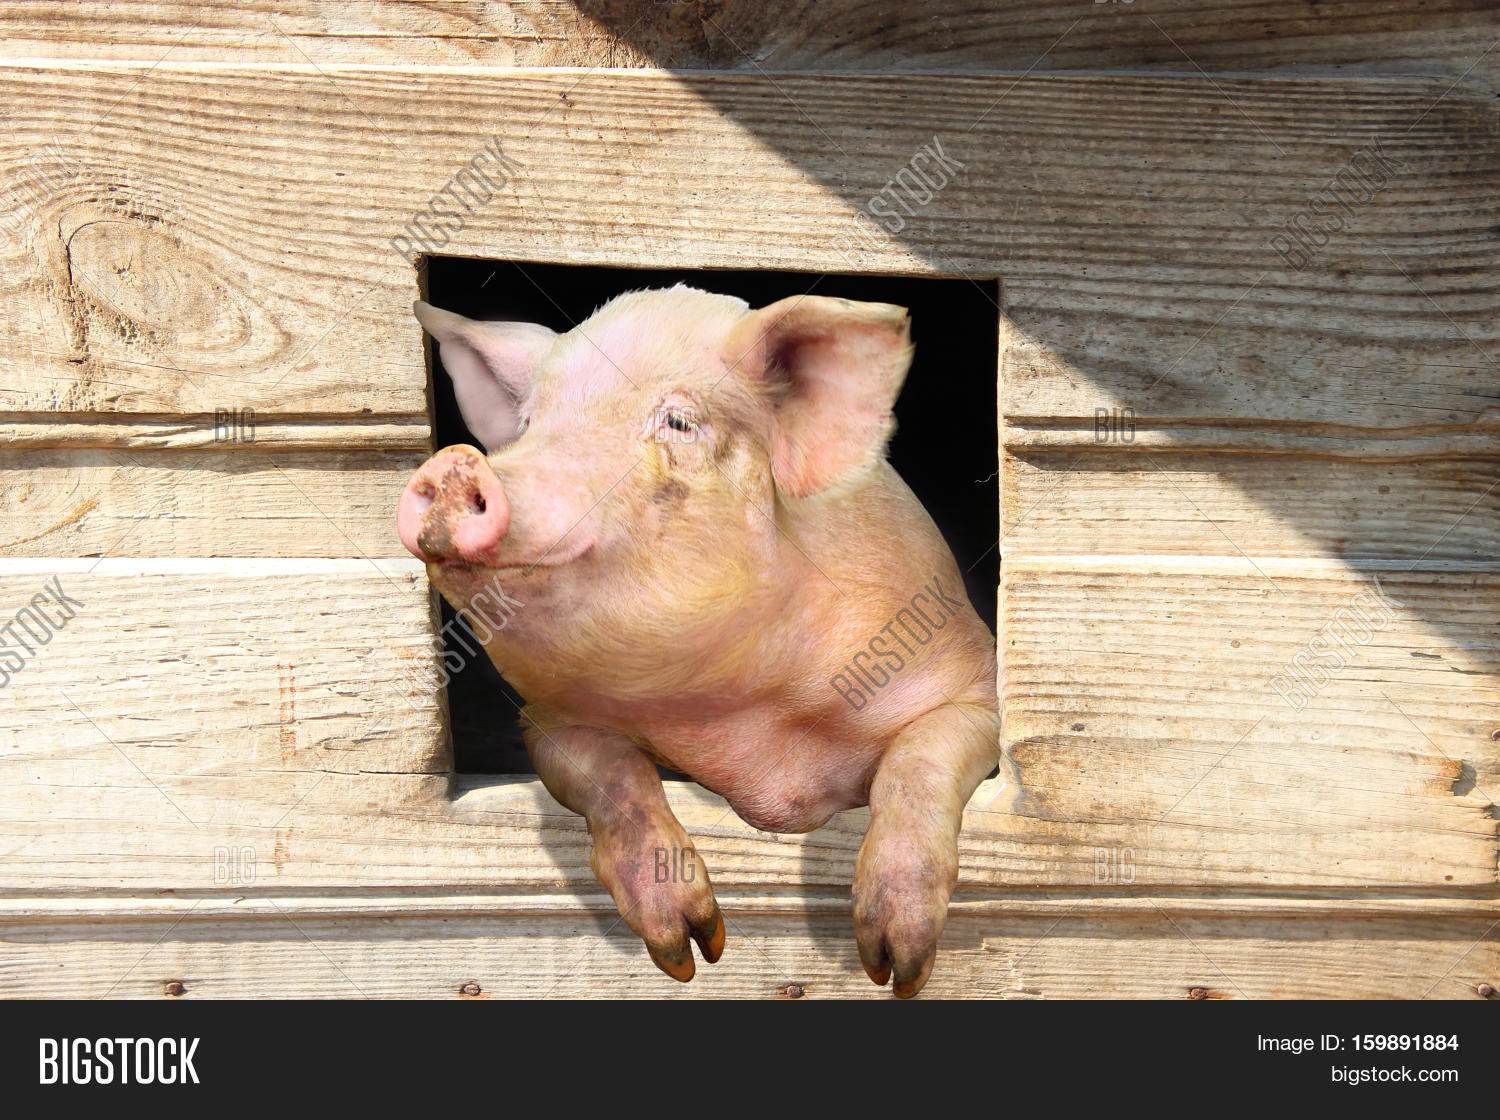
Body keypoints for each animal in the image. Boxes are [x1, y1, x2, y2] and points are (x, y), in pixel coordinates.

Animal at [397, 286, 999, 997]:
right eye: (529, 423)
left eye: (680, 422)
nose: (455, 464)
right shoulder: (549, 720)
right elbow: (610, 776)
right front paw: (692, 953)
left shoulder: (972, 675)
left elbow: (919, 760)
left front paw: (897, 970)